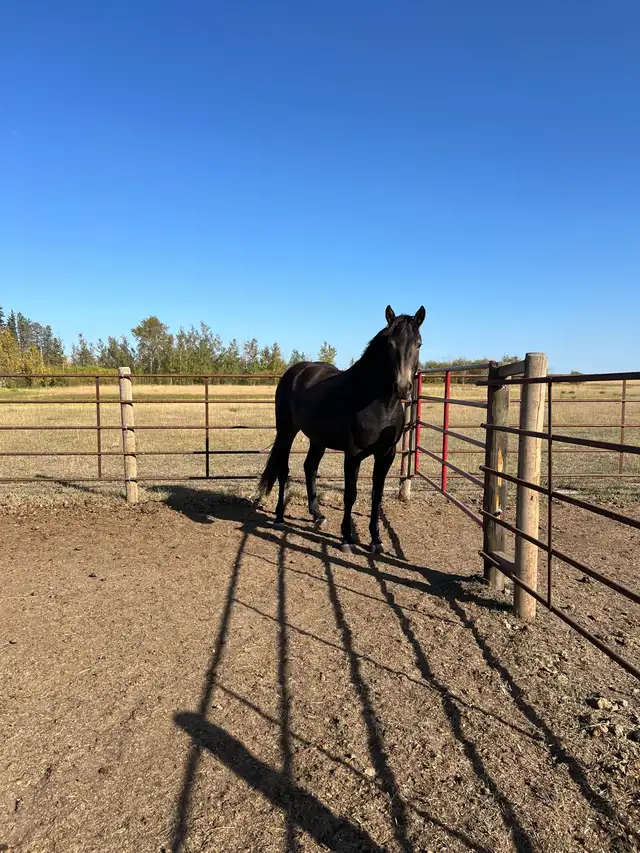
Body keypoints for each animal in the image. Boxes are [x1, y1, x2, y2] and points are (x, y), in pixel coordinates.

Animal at [258, 305, 425, 553]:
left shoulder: (386, 455)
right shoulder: (353, 454)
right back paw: (279, 518)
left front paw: (376, 540)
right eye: (390, 343)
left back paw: (317, 515)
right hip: (287, 432)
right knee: (283, 470)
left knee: (310, 468)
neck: (378, 403)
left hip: (317, 439)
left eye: (419, 343)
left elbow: (377, 496)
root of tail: (295, 372)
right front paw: (347, 538)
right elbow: (350, 494)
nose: (403, 388)